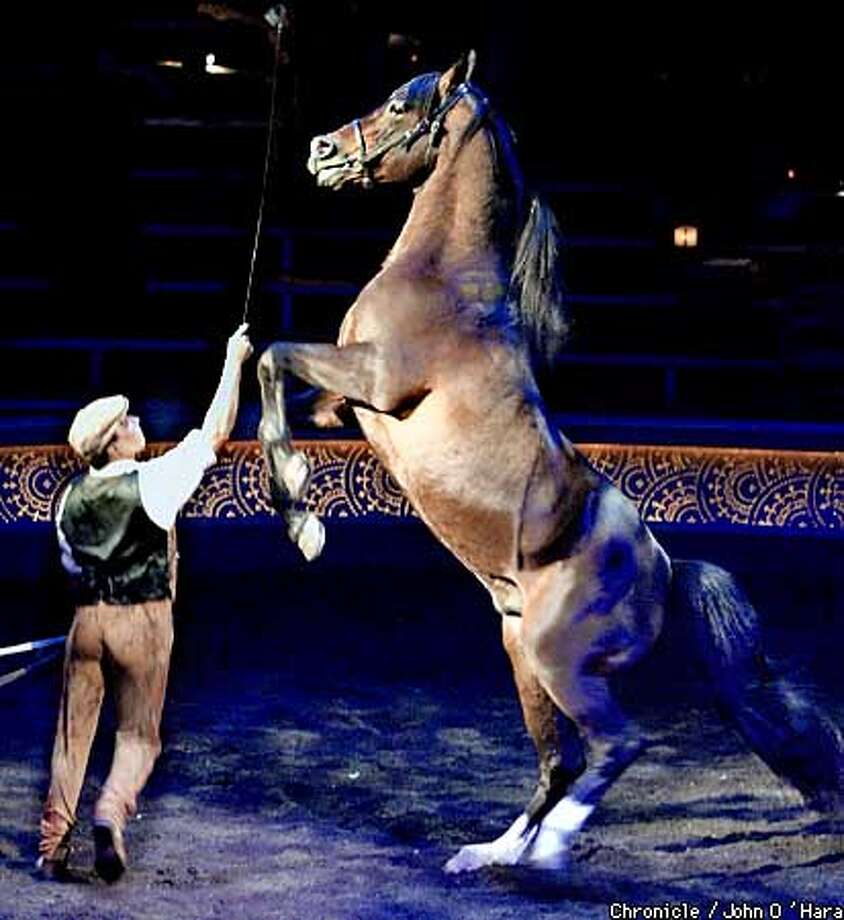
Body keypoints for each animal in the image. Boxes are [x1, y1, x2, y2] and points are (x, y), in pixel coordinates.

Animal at [256, 51, 844, 871]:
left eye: (403, 105)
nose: (321, 151)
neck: (444, 282)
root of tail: (668, 569)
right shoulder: (344, 405)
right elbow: (270, 385)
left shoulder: (374, 380)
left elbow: (271, 357)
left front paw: (302, 521)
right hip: (519, 651)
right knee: (558, 761)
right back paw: (491, 855)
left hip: (555, 658)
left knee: (619, 744)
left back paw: (549, 853)